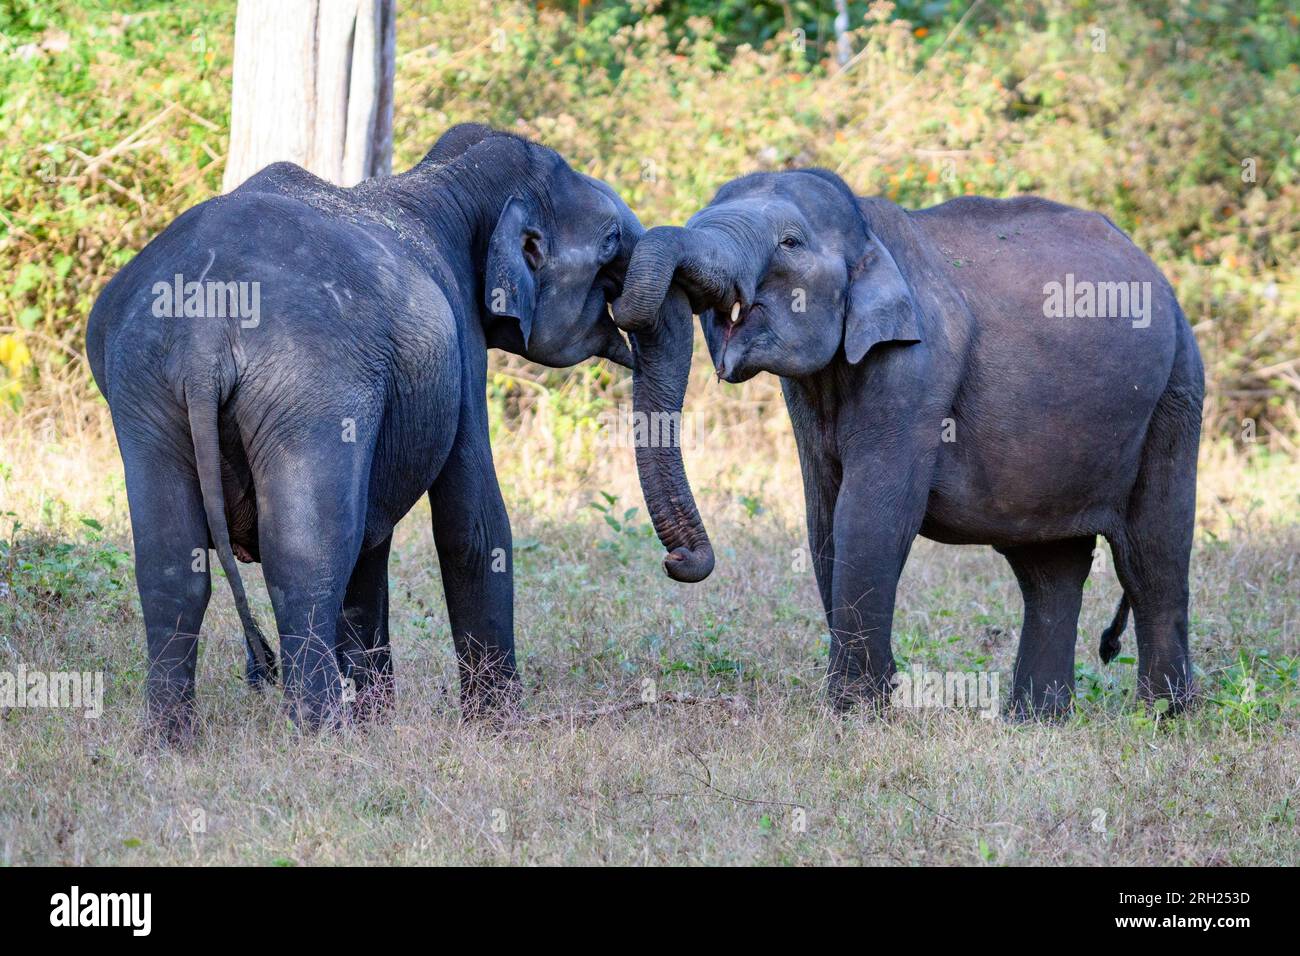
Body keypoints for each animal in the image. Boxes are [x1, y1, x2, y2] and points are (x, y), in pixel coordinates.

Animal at [86, 123, 712, 738]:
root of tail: (204, 334)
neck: (444, 182)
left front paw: (378, 725)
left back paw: (171, 743)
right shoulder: (461, 346)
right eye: (610, 243)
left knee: (171, 565)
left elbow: (374, 537)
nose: (676, 562)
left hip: (145, 394)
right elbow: (473, 523)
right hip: (310, 387)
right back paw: (320, 738)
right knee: (307, 559)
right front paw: (499, 730)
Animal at [613, 168, 1204, 717]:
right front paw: (872, 699)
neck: (868, 227)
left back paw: (1162, 715)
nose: (677, 560)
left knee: (1151, 557)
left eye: (790, 243)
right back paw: (1037, 720)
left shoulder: (915, 367)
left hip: (1175, 395)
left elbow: (870, 514)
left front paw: (856, 712)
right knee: (1050, 570)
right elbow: (824, 519)